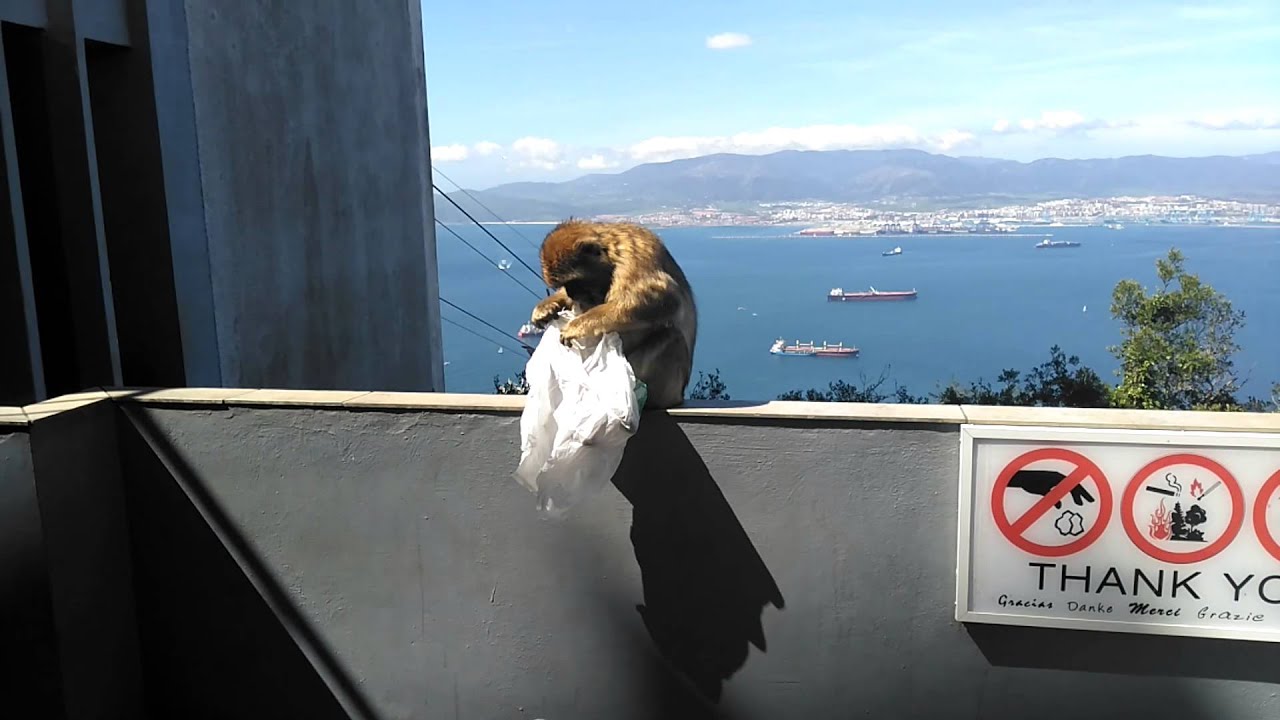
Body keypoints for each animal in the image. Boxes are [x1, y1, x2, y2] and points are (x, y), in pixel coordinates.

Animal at [529, 219, 697, 409]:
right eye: (565, 285)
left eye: (574, 283)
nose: (571, 294)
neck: (610, 253)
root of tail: (678, 395)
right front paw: (545, 308)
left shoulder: (631, 263)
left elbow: (666, 299)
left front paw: (576, 326)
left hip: (665, 387)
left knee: (671, 336)